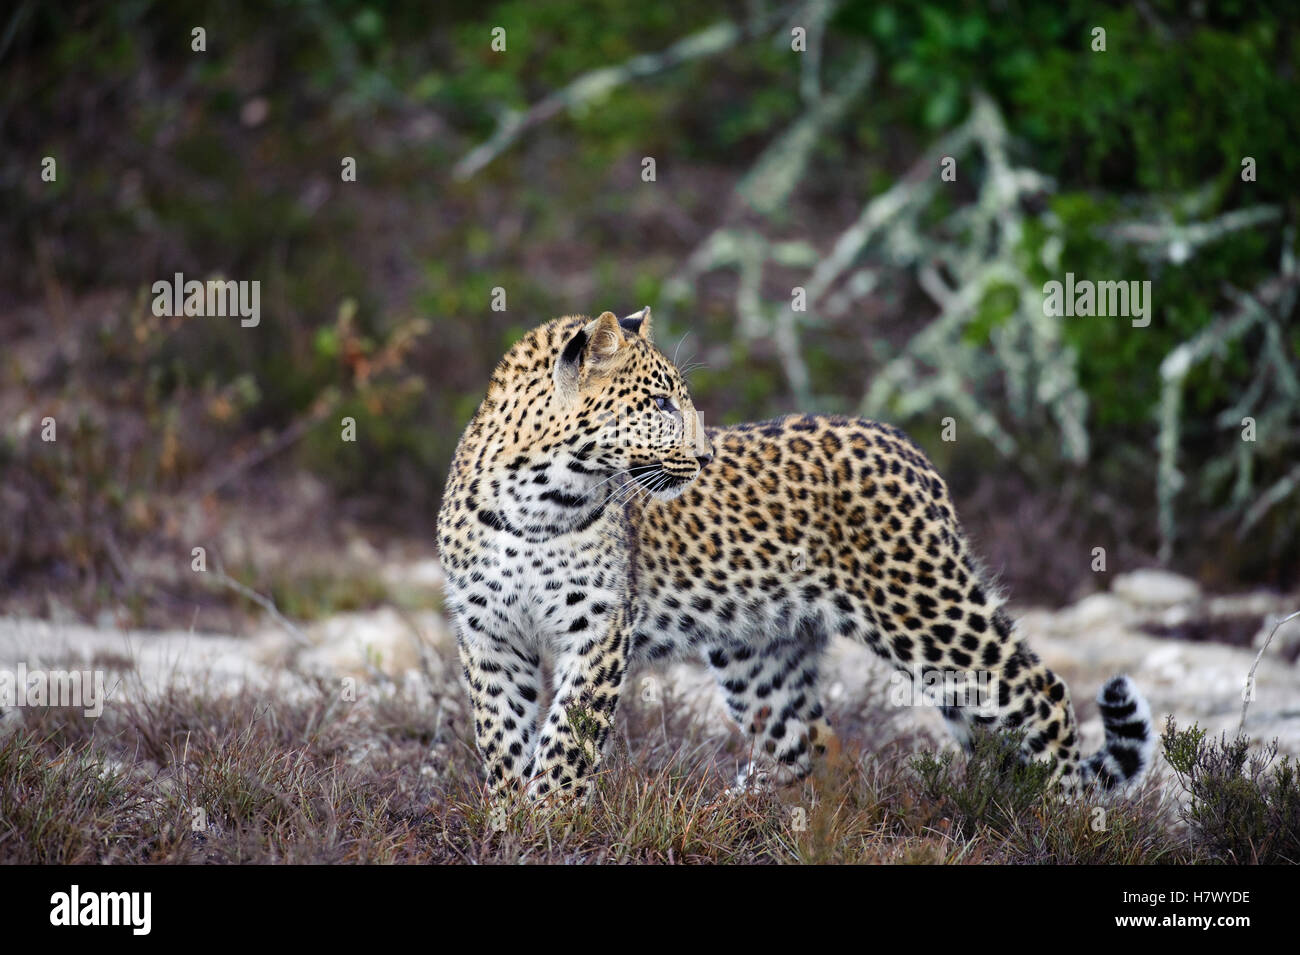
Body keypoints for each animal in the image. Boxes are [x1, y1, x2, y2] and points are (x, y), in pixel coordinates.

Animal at [435, 308, 1155, 801]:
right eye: (659, 402)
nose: (703, 457)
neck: (537, 501)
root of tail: (904, 444)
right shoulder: (489, 635)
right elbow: (503, 743)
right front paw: (511, 824)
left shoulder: (598, 632)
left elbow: (566, 746)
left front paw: (549, 821)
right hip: (761, 658)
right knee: (819, 748)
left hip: (929, 613)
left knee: (1042, 694)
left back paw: (1065, 819)